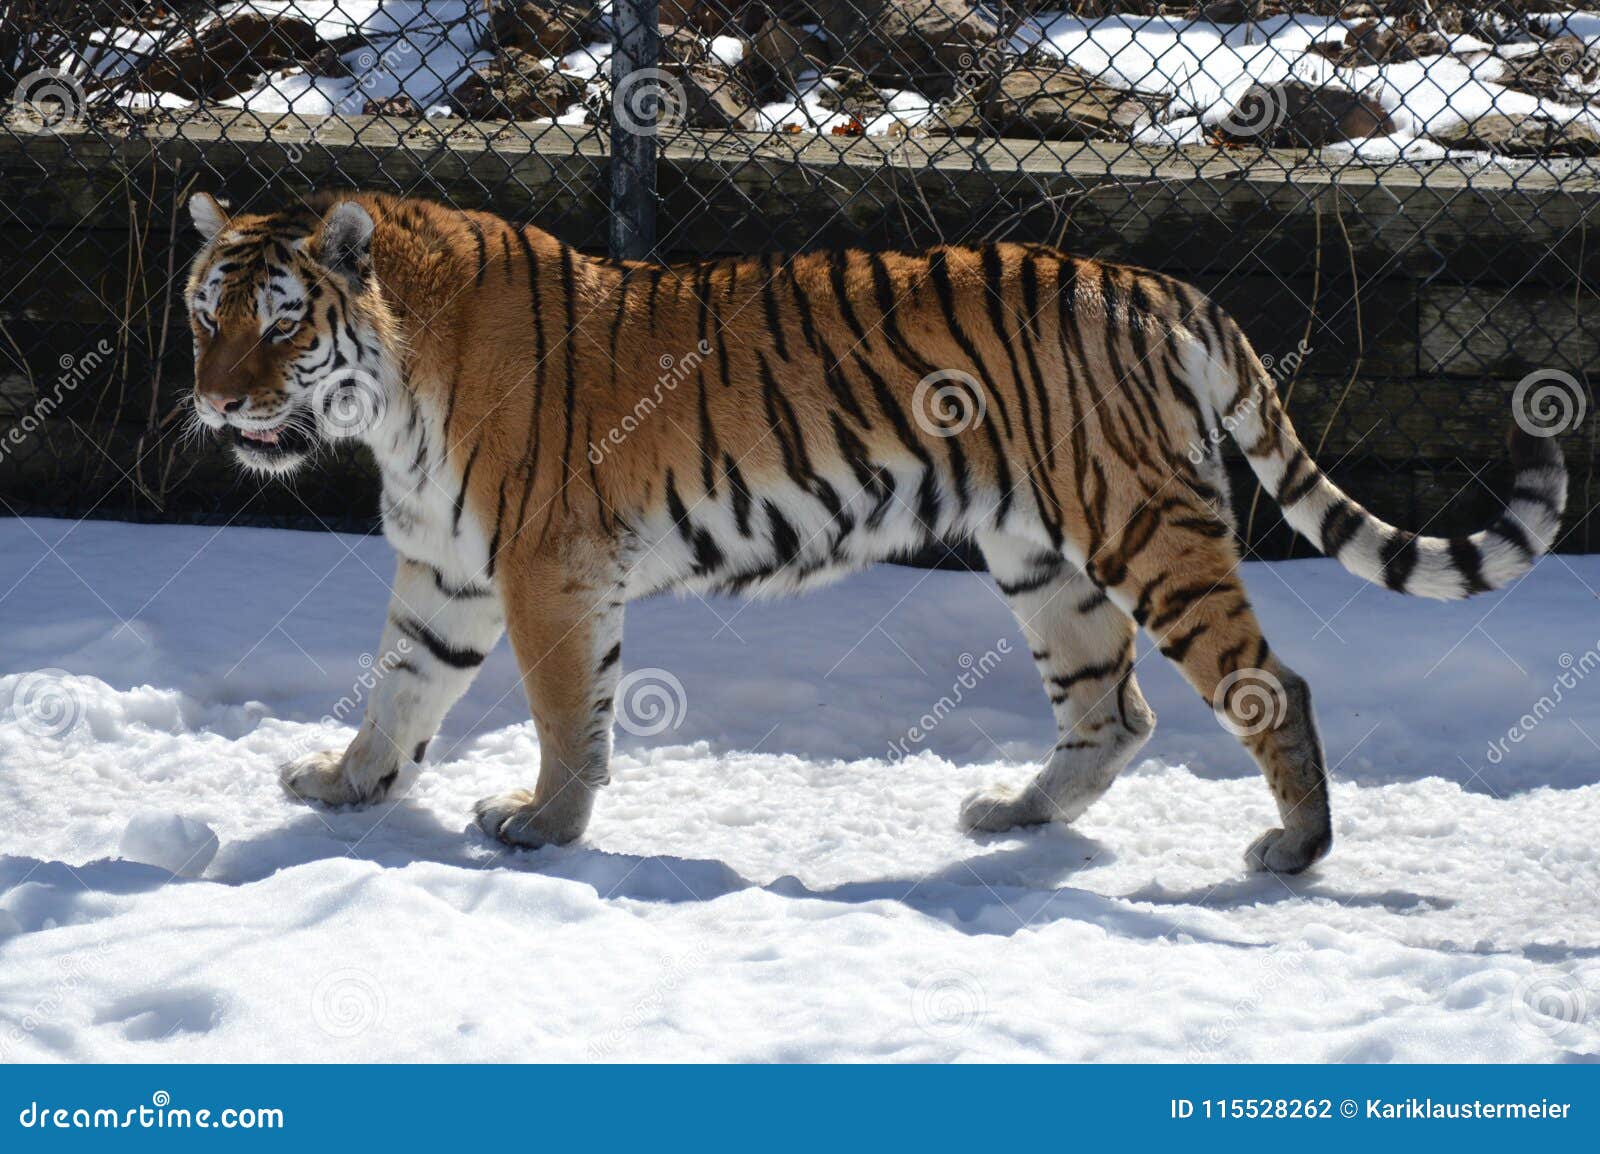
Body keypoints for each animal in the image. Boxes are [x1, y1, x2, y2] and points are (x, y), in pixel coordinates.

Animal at [184, 189, 1566, 875]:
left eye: (283, 321)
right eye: (207, 312)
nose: (213, 400)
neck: (389, 395)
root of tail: (1159, 283)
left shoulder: (541, 567)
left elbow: (565, 713)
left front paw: (543, 827)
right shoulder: (450, 568)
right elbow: (399, 687)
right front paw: (346, 786)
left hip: (1140, 527)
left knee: (1269, 683)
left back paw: (1296, 847)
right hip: (1042, 559)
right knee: (1111, 707)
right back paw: (1015, 815)